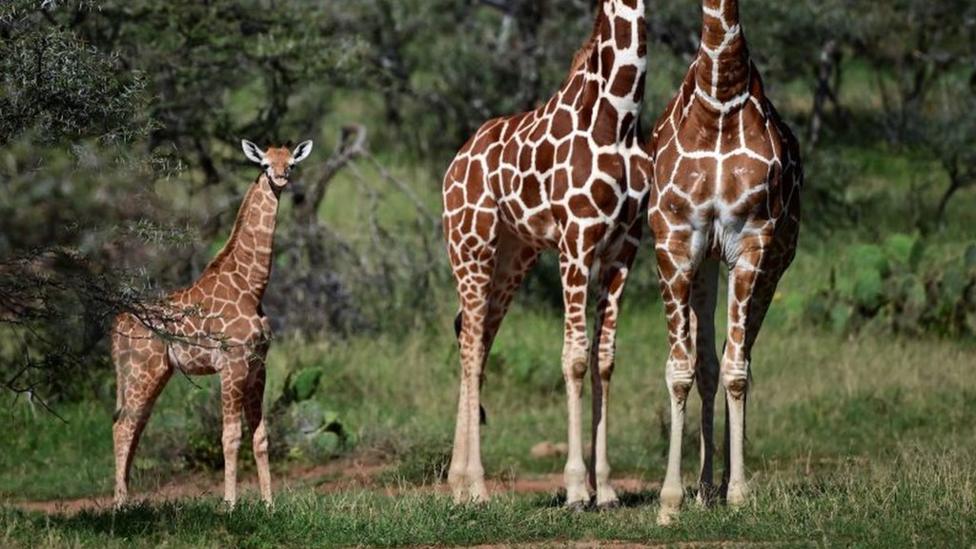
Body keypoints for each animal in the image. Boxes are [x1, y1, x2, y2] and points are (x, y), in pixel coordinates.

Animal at [111, 139, 313, 507]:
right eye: (264, 164)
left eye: (291, 163)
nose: (280, 178)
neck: (251, 286)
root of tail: (116, 325)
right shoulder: (232, 363)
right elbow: (230, 436)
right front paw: (230, 505)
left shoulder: (258, 364)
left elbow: (261, 436)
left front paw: (269, 505)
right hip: (141, 370)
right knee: (123, 427)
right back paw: (118, 505)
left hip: (155, 372)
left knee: (136, 426)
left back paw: (128, 500)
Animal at [442, 0, 651, 508]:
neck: (621, 117)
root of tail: (455, 162)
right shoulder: (577, 239)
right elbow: (573, 356)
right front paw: (576, 488)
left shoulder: (625, 246)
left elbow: (604, 359)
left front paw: (606, 489)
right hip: (470, 245)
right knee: (471, 346)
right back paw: (476, 485)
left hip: (514, 257)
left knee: (476, 341)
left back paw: (459, 484)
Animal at [648, 0, 801, 525]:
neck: (719, 96)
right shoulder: (675, 240)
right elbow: (682, 369)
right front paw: (670, 500)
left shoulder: (752, 240)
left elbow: (737, 369)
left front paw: (738, 493)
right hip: (705, 265)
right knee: (708, 364)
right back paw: (702, 487)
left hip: (772, 262)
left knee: (741, 359)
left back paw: (720, 485)